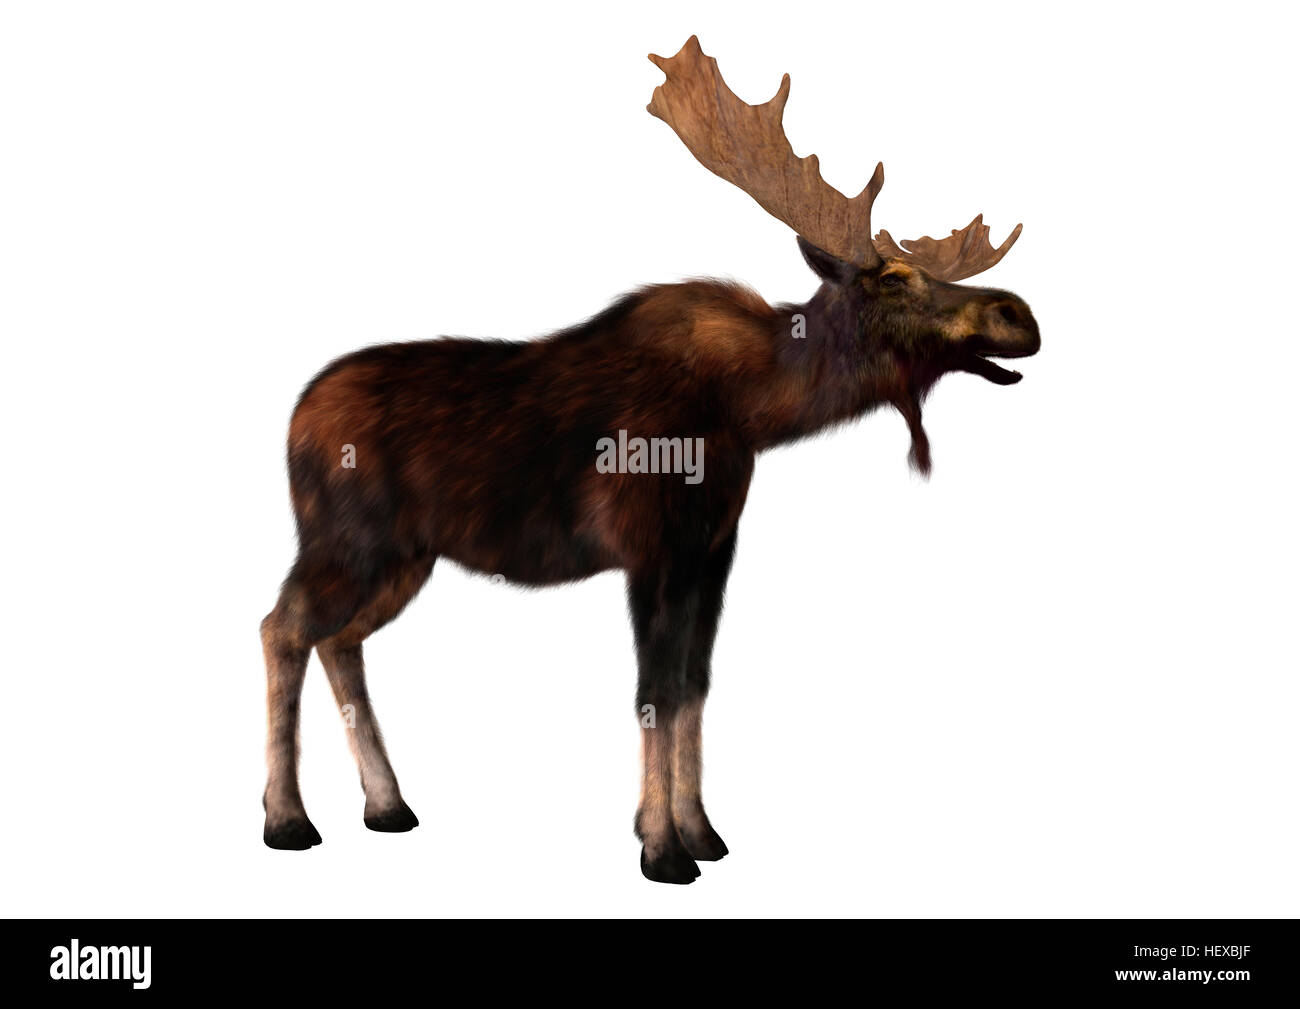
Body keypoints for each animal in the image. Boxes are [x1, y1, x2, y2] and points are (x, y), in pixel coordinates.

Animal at [259, 36, 1040, 884]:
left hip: (406, 558)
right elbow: (655, 689)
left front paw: (699, 830)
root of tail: (292, 420)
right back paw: (287, 818)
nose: (1019, 314)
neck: (753, 412)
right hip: (349, 543)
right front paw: (662, 849)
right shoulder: (652, 548)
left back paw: (387, 803)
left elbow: (694, 685)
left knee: (338, 640)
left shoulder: (713, 548)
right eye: (895, 278)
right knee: (282, 627)